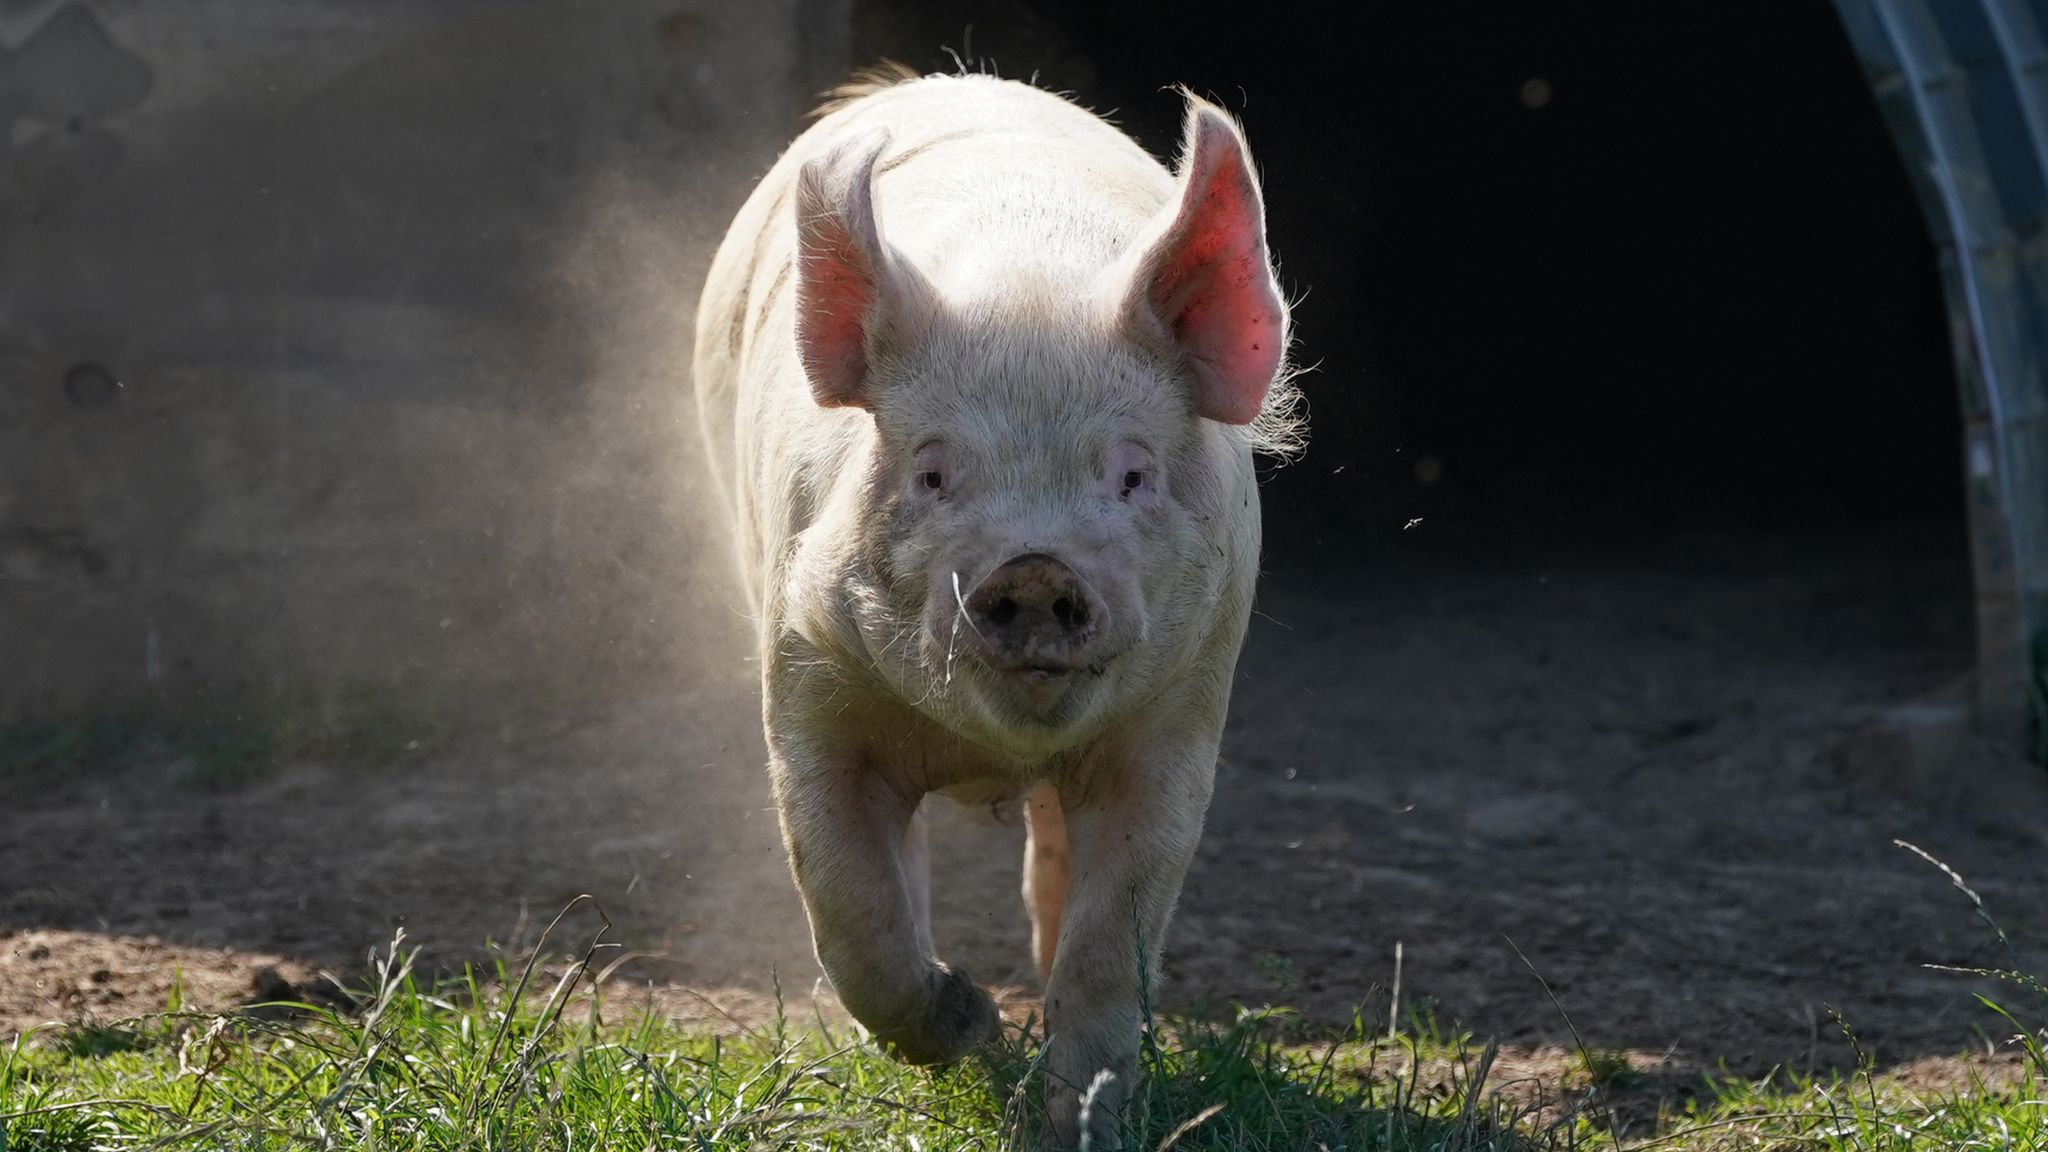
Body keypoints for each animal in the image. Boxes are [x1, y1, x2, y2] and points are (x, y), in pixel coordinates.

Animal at [692, 63, 1301, 1148]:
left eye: (1131, 475)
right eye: (934, 474)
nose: (1033, 568)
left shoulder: (1179, 720)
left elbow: (1111, 943)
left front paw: (1078, 1122)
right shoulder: (805, 683)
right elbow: (851, 909)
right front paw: (970, 1025)